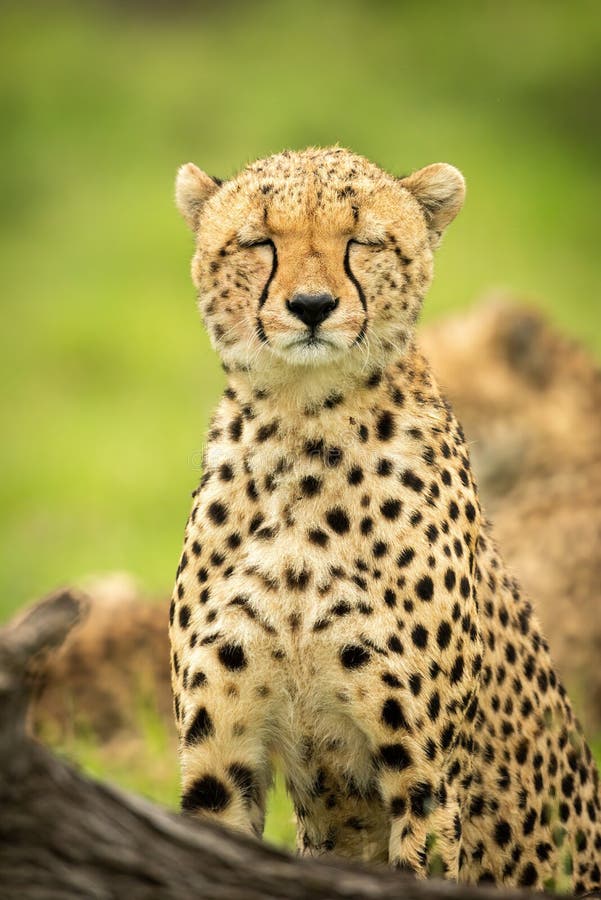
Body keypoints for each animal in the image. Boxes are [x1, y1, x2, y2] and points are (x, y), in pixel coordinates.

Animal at [168, 146, 601, 893]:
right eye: (260, 241)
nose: (312, 306)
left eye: (361, 241)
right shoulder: (219, 756)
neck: (300, 427)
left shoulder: (422, 773)